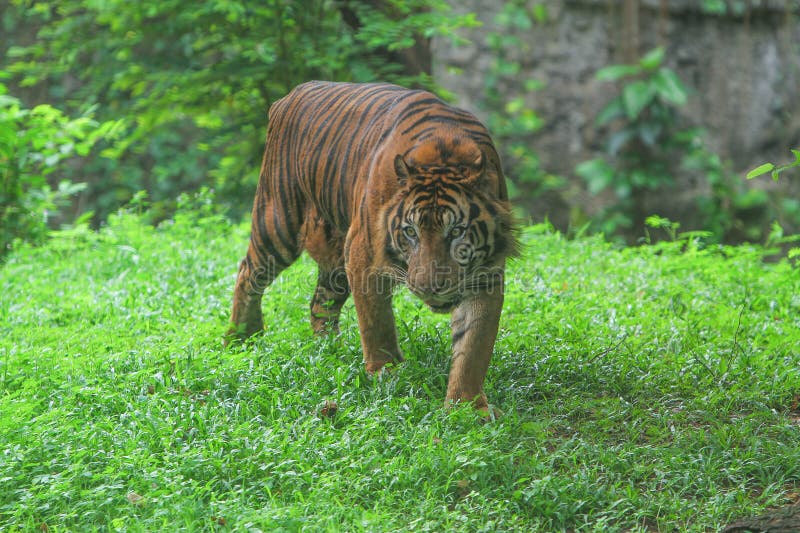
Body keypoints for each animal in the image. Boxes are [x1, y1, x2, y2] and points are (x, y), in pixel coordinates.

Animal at [227, 81, 519, 412]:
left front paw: (467, 406)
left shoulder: (486, 275)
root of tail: (291, 94)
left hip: (334, 262)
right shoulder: (363, 256)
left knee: (319, 305)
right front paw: (386, 374)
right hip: (277, 224)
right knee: (248, 274)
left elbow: (473, 347)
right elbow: (376, 324)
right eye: (411, 232)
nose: (429, 288)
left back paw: (331, 352)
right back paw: (242, 339)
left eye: (456, 231)